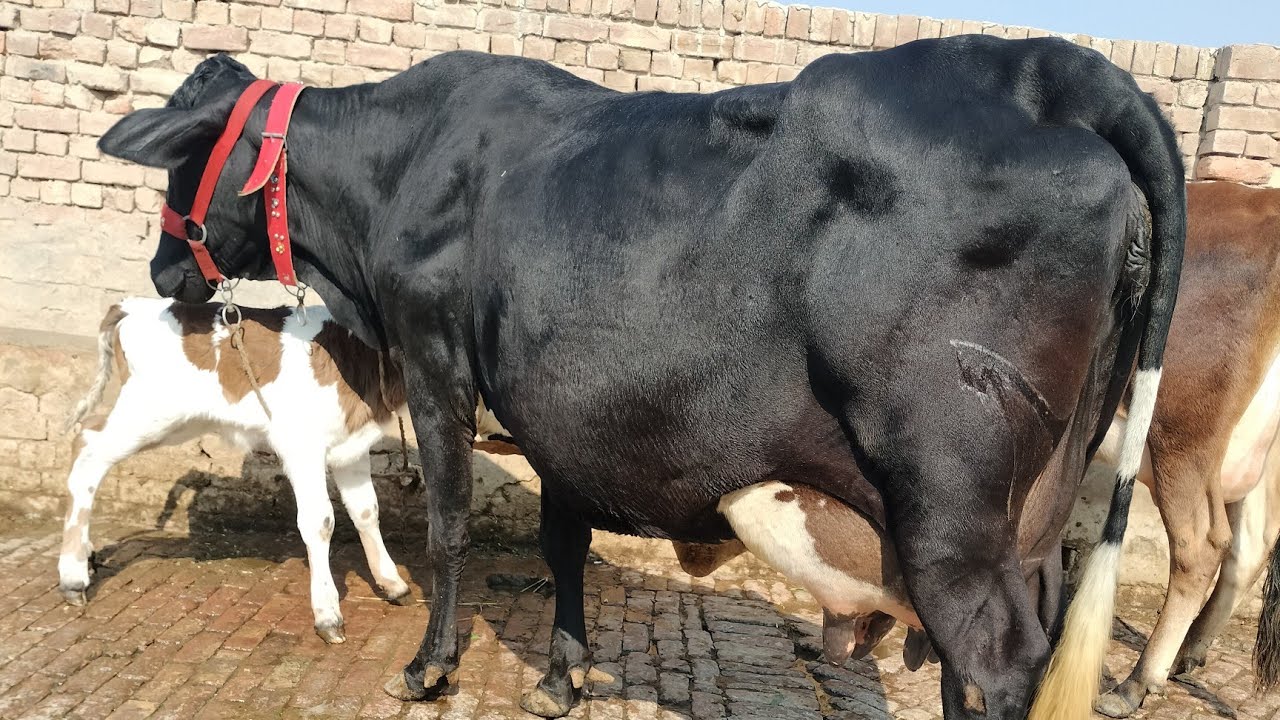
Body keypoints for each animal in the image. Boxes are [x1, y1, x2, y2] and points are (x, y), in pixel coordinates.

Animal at [96, 34, 1186, 720]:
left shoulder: (438, 358)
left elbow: (447, 524)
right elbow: (561, 537)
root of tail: (1051, 66)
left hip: (948, 502)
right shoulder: (557, 408)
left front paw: (430, 668)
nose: (159, 266)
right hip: (1034, 511)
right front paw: (562, 675)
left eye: (179, 164)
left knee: (993, 665)